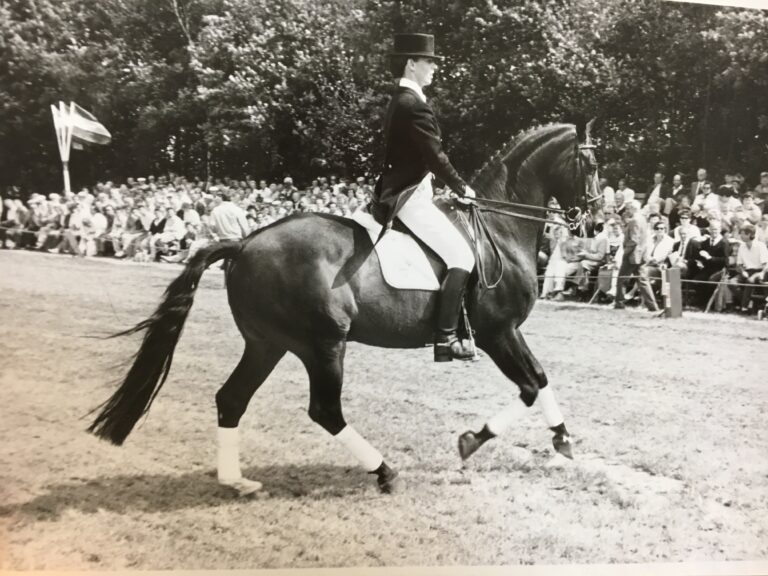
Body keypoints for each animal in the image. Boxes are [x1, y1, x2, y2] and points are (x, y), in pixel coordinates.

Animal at [88, 120, 600, 495]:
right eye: (591, 165)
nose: (595, 224)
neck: (499, 226)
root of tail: (245, 242)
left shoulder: (506, 333)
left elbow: (538, 381)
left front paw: (557, 438)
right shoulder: (498, 332)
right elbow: (531, 385)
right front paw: (481, 441)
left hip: (267, 343)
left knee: (231, 399)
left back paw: (236, 481)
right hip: (324, 343)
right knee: (324, 411)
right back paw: (385, 472)